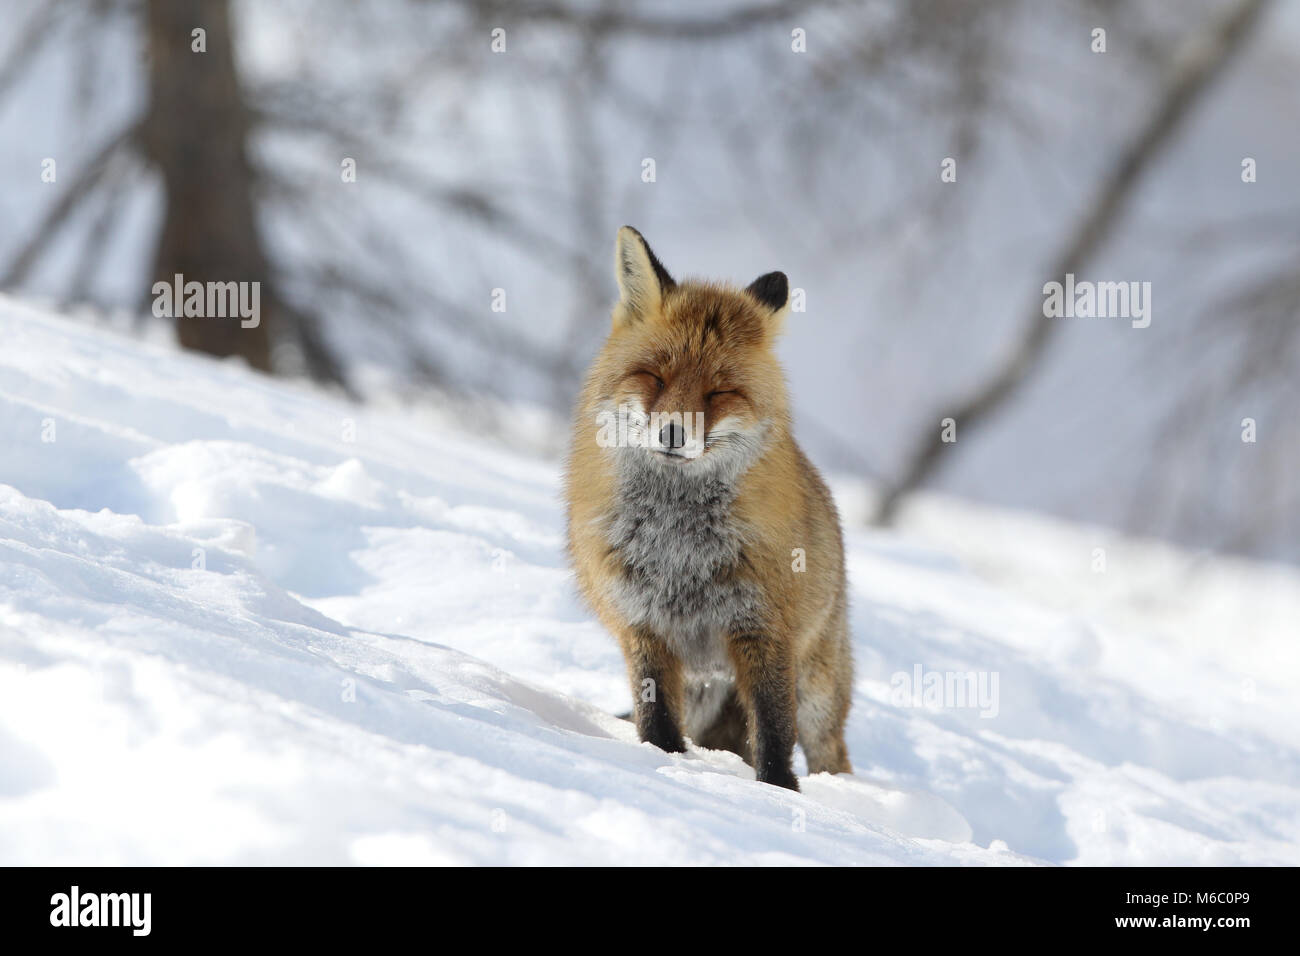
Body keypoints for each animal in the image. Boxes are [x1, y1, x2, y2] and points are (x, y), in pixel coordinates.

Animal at [564, 226, 853, 791]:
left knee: (831, 752)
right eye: (654, 376)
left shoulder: (763, 628)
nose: (673, 433)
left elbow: (774, 731)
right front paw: (666, 766)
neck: (678, 541)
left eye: (718, 392)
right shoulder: (641, 625)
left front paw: (779, 794)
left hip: (817, 688)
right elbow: (656, 721)